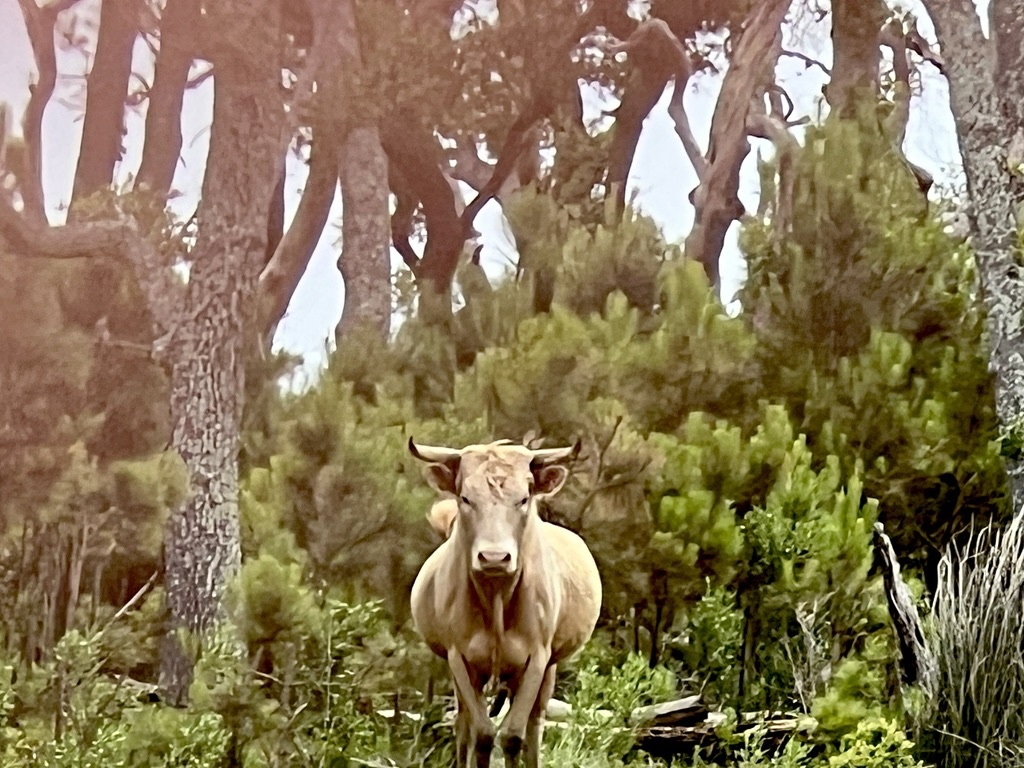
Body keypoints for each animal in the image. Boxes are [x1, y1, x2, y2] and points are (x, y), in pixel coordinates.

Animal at [408, 438, 602, 768]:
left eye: (523, 499)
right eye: (465, 498)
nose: (494, 557)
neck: (496, 597)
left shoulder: (537, 658)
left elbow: (513, 735)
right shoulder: (459, 658)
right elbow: (483, 733)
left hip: (546, 669)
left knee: (534, 726)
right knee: (464, 724)